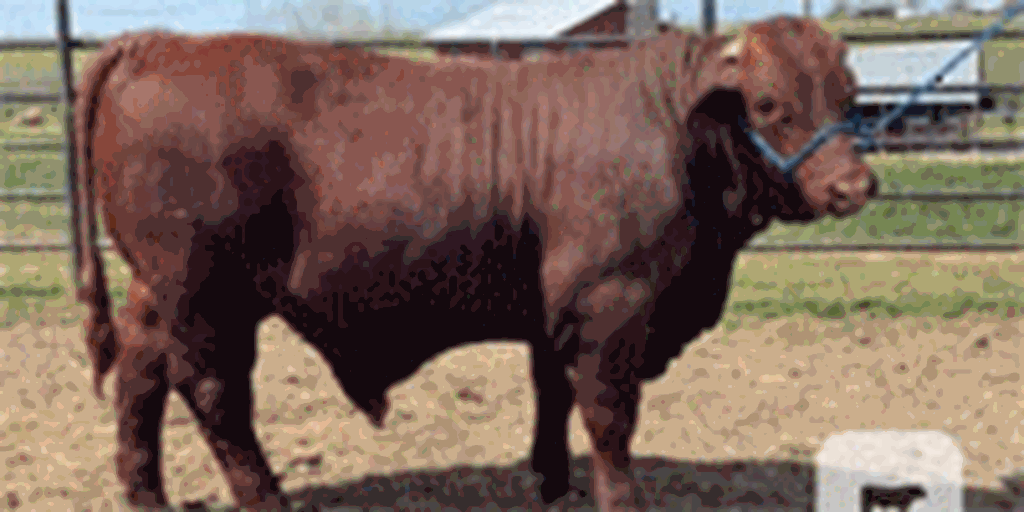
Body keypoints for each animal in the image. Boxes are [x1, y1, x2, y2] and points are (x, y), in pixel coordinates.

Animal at [73, 16, 878, 511]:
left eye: (850, 95)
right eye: (769, 104)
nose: (854, 186)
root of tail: (156, 44)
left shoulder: (557, 308)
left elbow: (552, 394)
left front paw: (550, 480)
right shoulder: (614, 304)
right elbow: (608, 418)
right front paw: (616, 495)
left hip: (157, 290)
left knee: (140, 373)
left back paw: (144, 492)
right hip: (206, 296)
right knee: (215, 395)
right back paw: (263, 495)